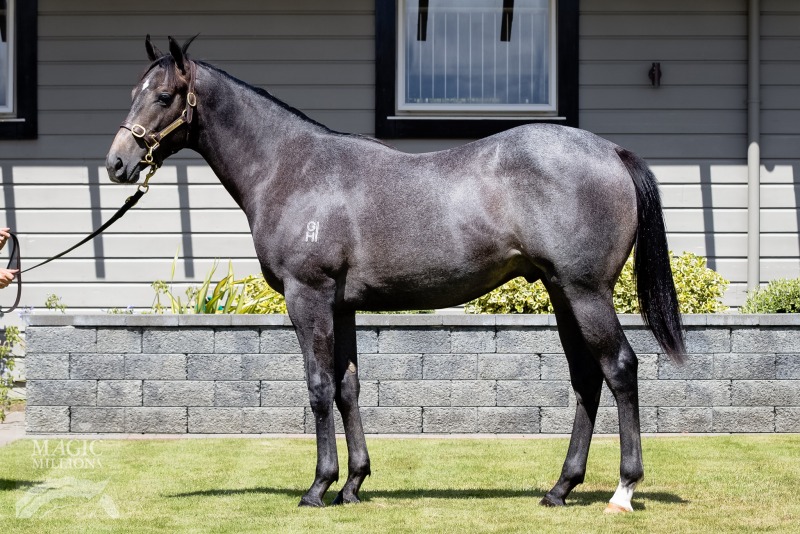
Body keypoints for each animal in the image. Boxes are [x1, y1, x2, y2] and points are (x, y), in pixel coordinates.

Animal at [106, 36, 685, 513]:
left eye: (163, 97)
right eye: (134, 91)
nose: (117, 164)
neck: (293, 168)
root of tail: (612, 151)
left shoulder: (308, 296)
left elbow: (318, 386)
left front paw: (318, 488)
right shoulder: (341, 306)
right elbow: (347, 387)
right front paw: (353, 484)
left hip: (586, 293)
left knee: (620, 369)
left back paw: (623, 490)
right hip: (563, 293)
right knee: (587, 378)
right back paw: (560, 488)